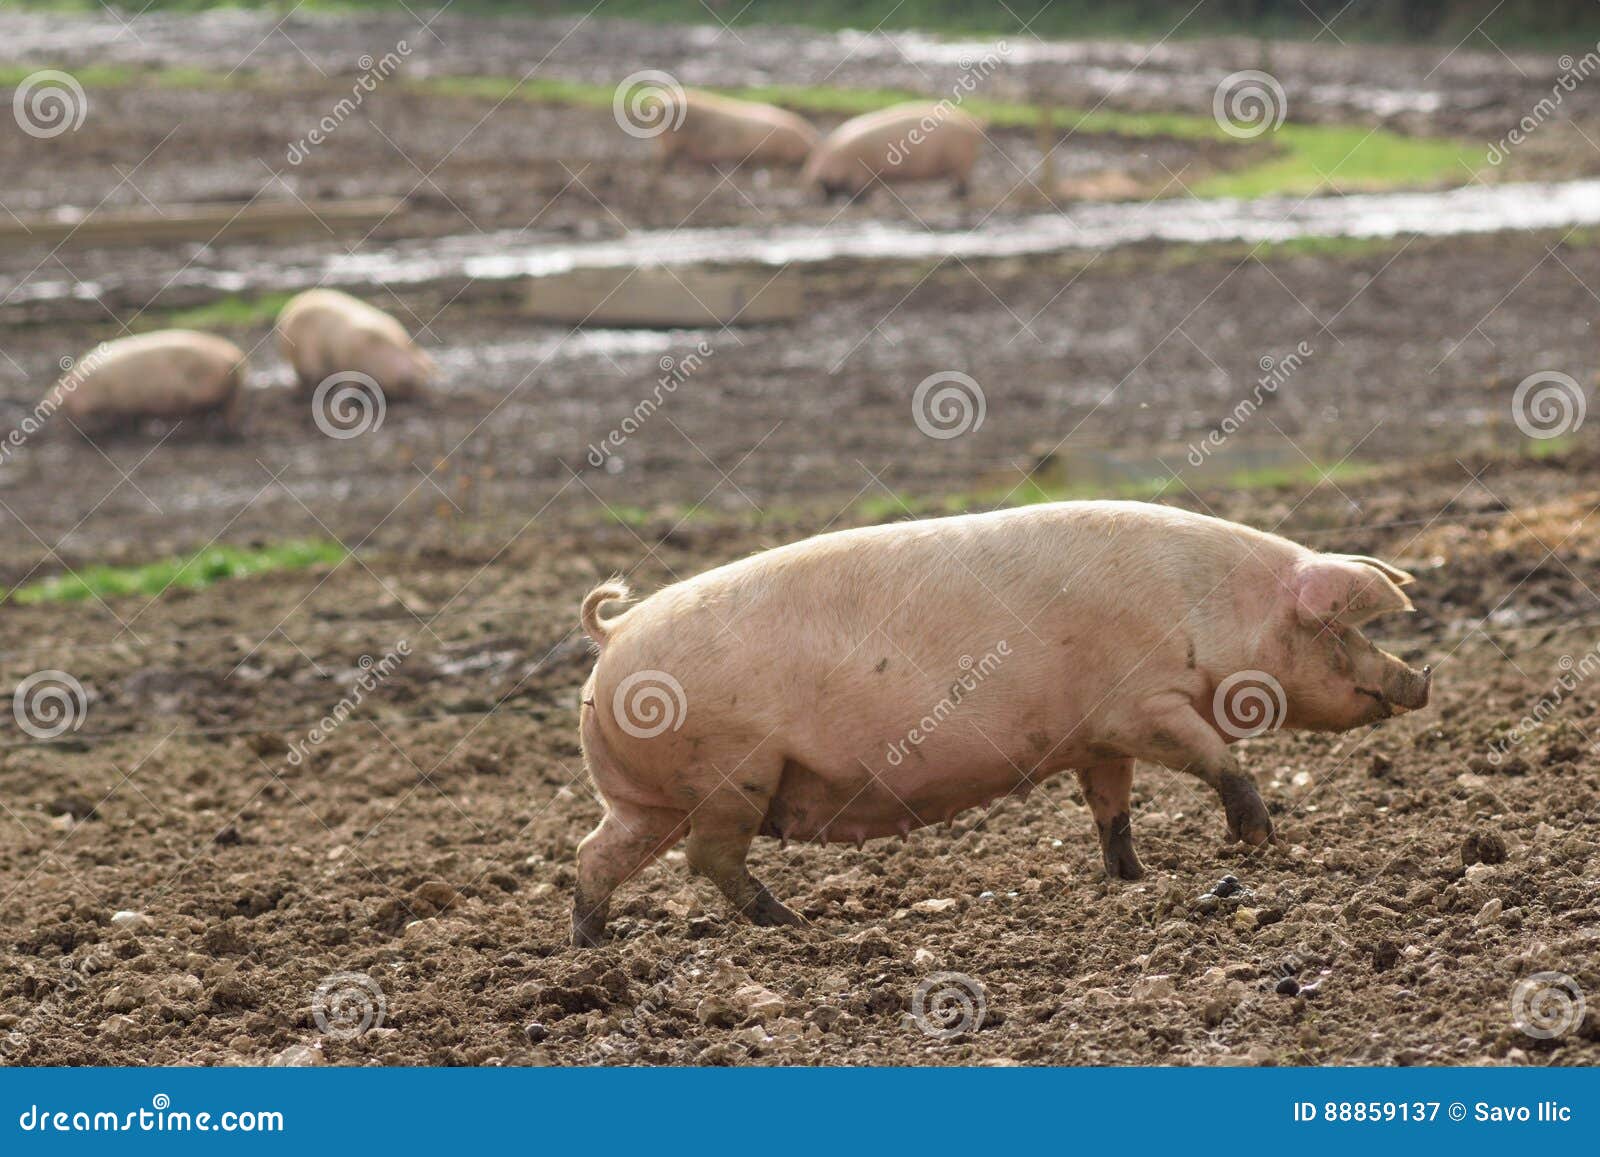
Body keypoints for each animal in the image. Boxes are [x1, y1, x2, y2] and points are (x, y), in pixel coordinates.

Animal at [275, 289, 435, 401]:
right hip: (304, 355)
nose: (426, 397)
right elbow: (347, 384)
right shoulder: (347, 364)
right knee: (307, 375)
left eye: (425, 377)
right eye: (414, 381)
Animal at [571, 501, 1432, 946]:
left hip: (650, 797)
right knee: (709, 858)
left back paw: (591, 943)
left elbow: (1111, 808)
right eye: (1338, 631)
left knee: (595, 853)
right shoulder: (1142, 703)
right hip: (732, 774)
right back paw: (794, 921)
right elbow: (1216, 755)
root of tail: (613, 634)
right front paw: (1257, 840)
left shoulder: (1098, 735)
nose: (1419, 681)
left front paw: (1133, 877)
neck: (1211, 609)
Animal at [802, 101, 983, 199]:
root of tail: (973, 121)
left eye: (821, 184)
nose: (815, 198)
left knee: (963, 184)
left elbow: (859, 193)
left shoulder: (860, 174)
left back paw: (956, 195)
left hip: (963, 161)